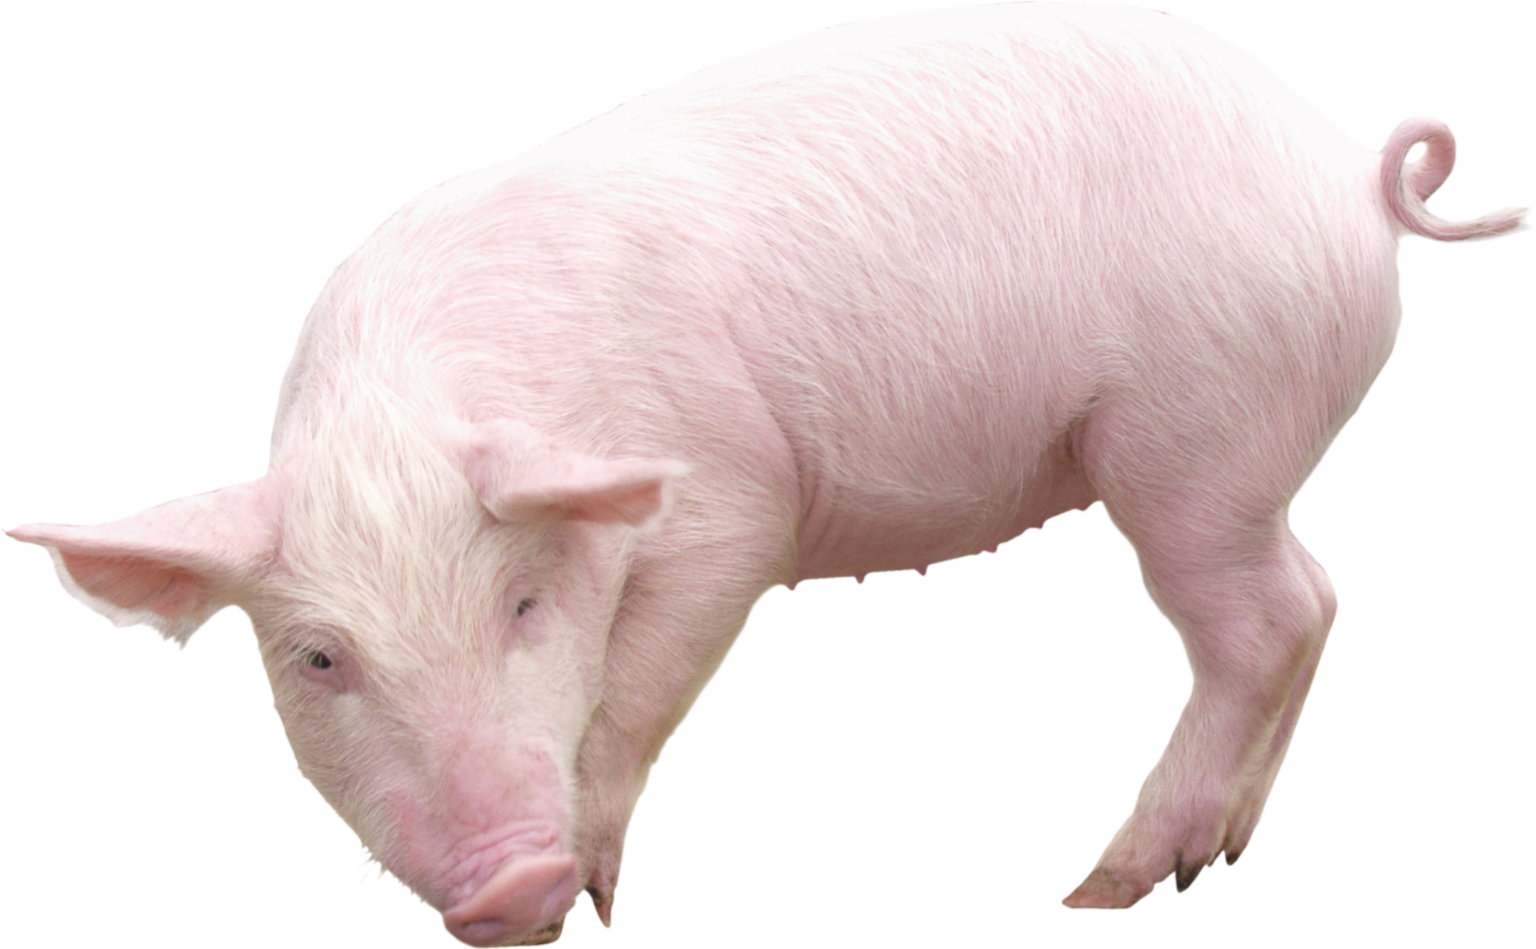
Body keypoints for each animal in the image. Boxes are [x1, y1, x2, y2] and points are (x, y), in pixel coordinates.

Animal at [6, 1, 1530, 943]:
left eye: (524, 607)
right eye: (321, 659)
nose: (507, 879)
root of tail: (1350, 175)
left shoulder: (730, 509)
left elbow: (633, 693)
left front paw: (591, 905)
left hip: (1196, 438)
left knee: (1261, 618)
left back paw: (1102, 889)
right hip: (1238, 457)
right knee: (1315, 599)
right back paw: (1217, 853)